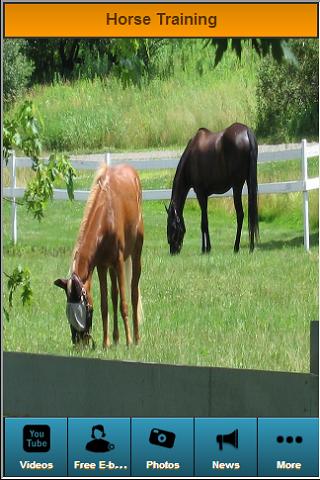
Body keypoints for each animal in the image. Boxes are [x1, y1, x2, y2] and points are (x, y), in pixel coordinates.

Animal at [54, 163, 144, 346]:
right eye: (68, 313)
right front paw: (106, 343)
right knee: (114, 295)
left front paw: (129, 341)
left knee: (133, 293)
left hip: (135, 253)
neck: (106, 216)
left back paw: (136, 338)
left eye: (87, 309)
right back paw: (116, 339)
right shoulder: (102, 266)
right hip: (111, 268)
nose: (79, 343)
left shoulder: (118, 262)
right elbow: (105, 304)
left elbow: (124, 304)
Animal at [166, 124, 258, 255]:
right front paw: (206, 247)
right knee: (251, 214)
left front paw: (205, 249)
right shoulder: (205, 195)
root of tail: (246, 131)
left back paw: (236, 247)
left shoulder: (200, 193)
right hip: (249, 181)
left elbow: (204, 223)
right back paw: (251, 246)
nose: (173, 251)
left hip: (237, 186)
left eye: (172, 227)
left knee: (240, 215)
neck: (190, 157)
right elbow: (205, 221)